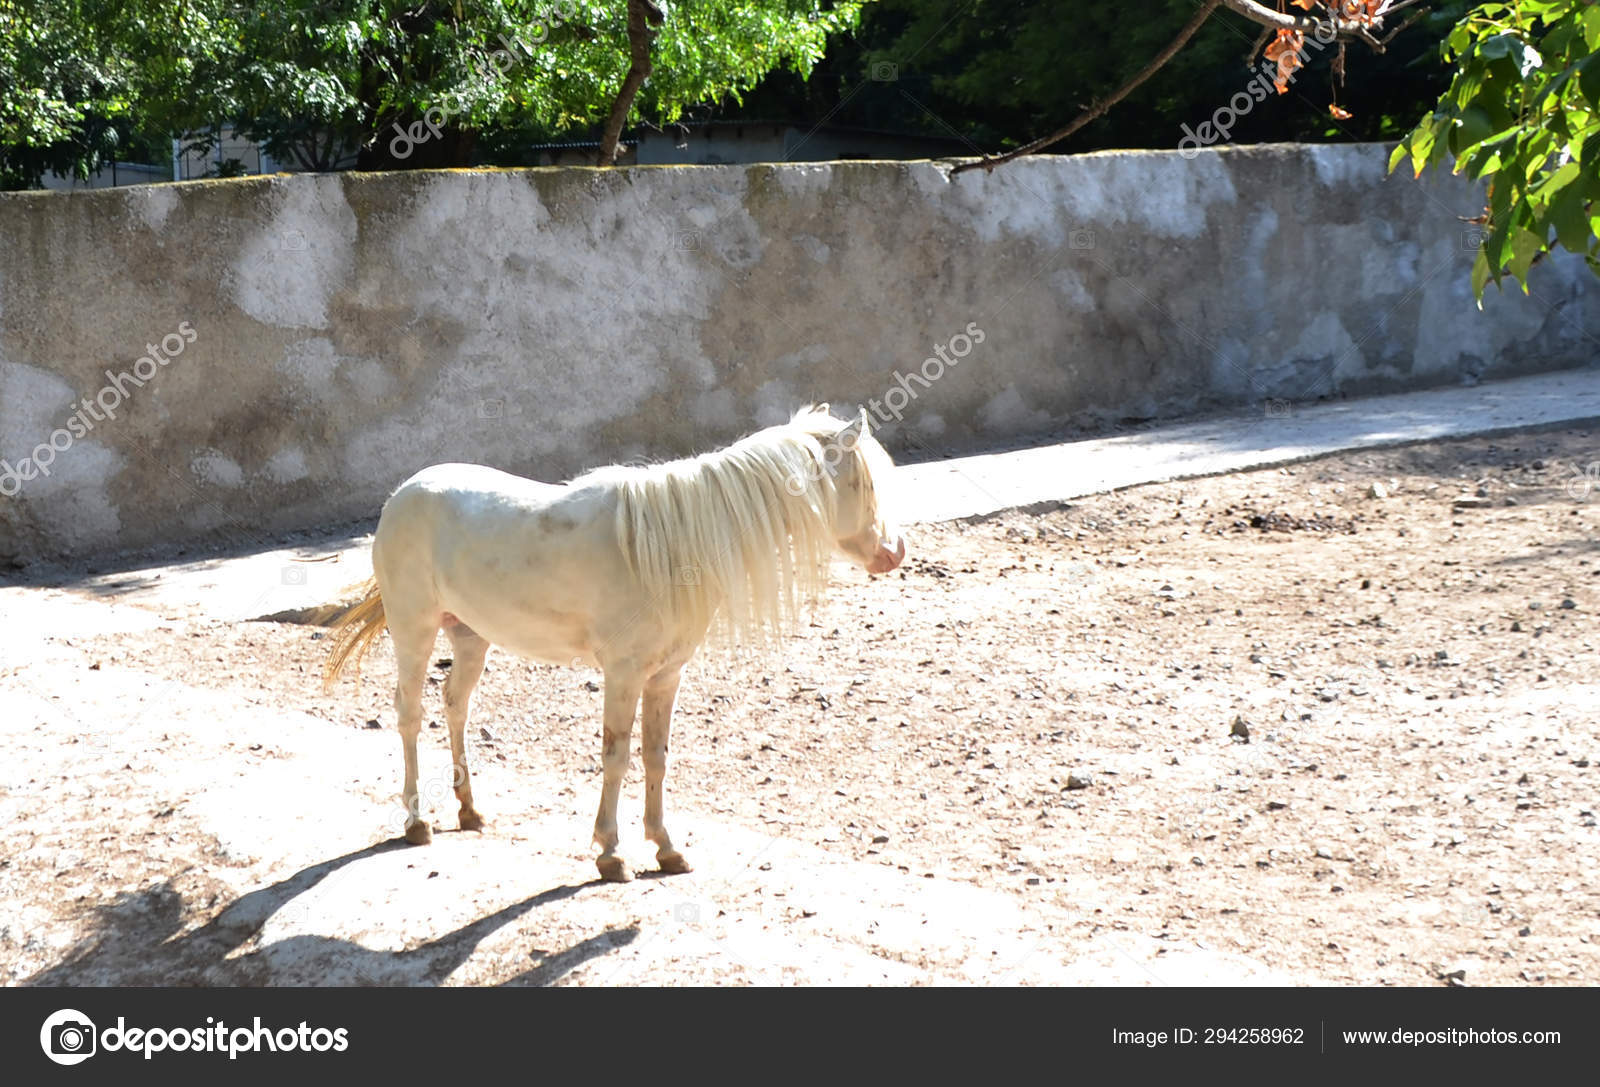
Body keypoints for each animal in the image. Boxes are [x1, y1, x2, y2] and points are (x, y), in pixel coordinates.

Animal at [323, 405, 907, 882]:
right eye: (862, 483)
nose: (895, 552)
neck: (670, 548)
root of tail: (403, 493)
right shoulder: (623, 674)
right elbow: (617, 757)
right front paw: (611, 854)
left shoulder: (666, 675)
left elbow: (656, 757)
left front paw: (667, 850)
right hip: (414, 630)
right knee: (410, 713)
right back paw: (416, 820)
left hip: (470, 636)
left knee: (455, 705)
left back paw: (469, 811)